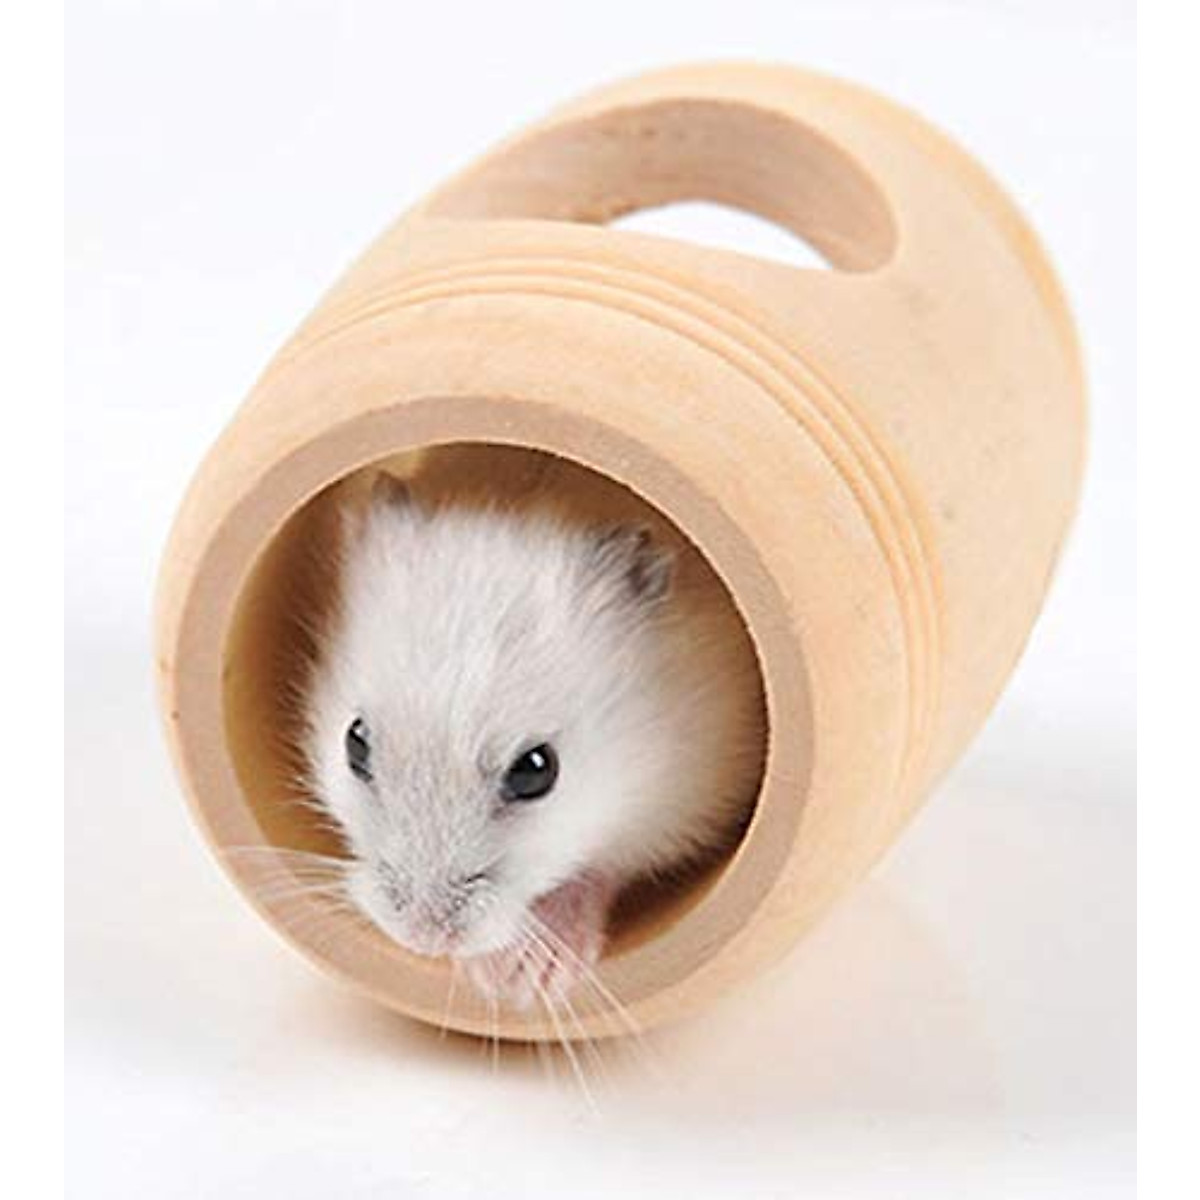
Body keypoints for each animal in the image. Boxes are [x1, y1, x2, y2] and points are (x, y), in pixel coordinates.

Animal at [302, 446, 765, 1010]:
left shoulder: (685, 802)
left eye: (536, 771)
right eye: (355, 744)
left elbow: (603, 866)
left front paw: (519, 980)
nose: (423, 938)